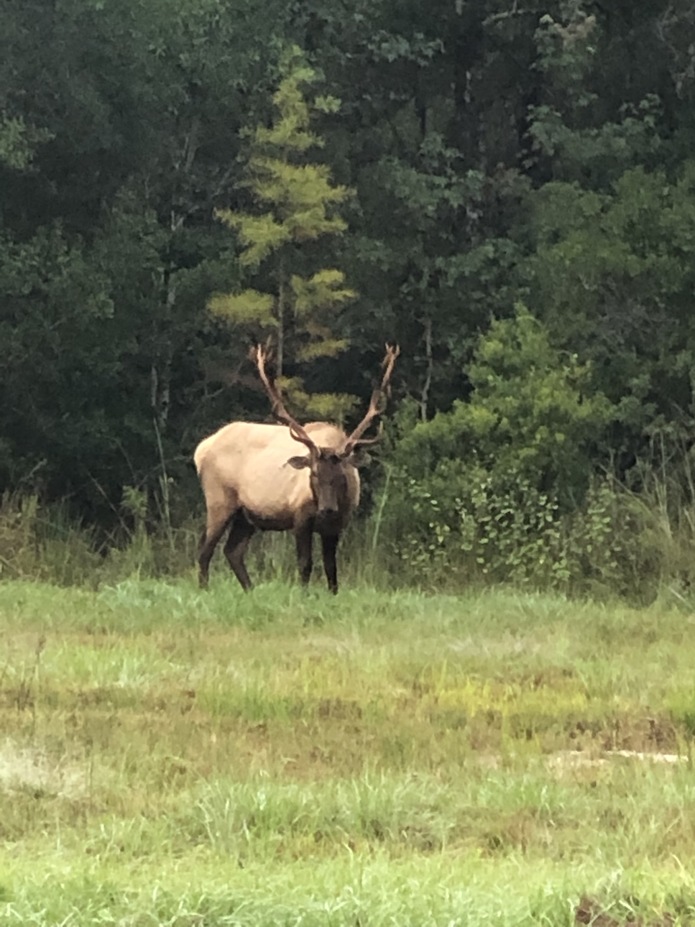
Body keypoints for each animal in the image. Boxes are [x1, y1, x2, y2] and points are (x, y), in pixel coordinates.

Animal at [193, 344, 399, 594]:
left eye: (341, 475)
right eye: (314, 474)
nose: (327, 509)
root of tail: (201, 449)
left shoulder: (337, 524)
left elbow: (331, 568)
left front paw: (332, 594)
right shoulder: (300, 517)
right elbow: (305, 563)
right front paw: (303, 594)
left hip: (247, 515)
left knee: (232, 551)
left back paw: (251, 590)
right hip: (219, 500)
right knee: (205, 549)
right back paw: (204, 589)